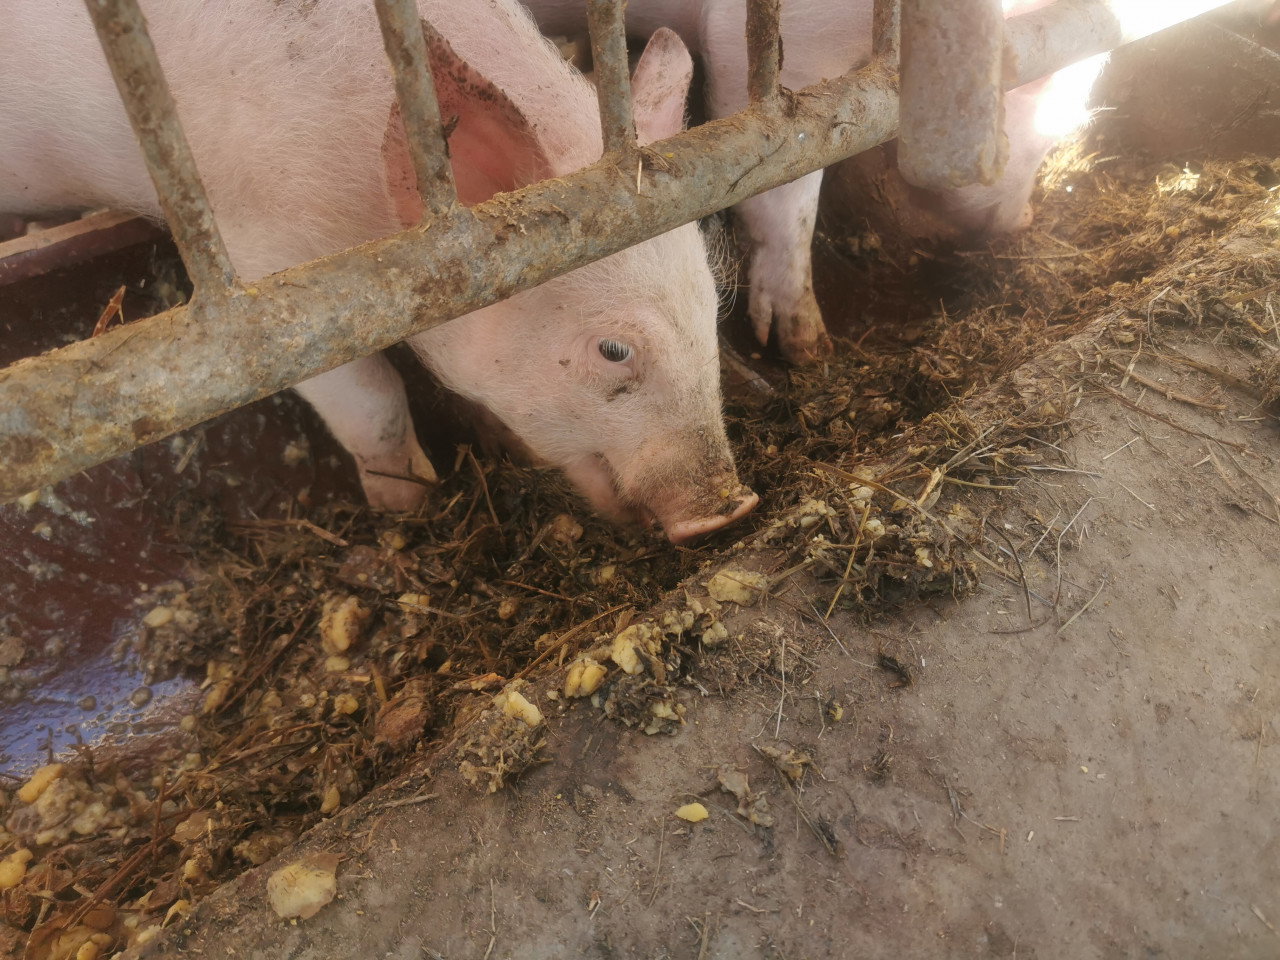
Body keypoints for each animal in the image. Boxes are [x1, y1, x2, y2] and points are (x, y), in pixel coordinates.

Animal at [0, 0, 758, 543]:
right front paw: (411, 507)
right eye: (613, 350)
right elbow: (373, 398)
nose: (732, 508)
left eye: (710, 309)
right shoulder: (267, 285)